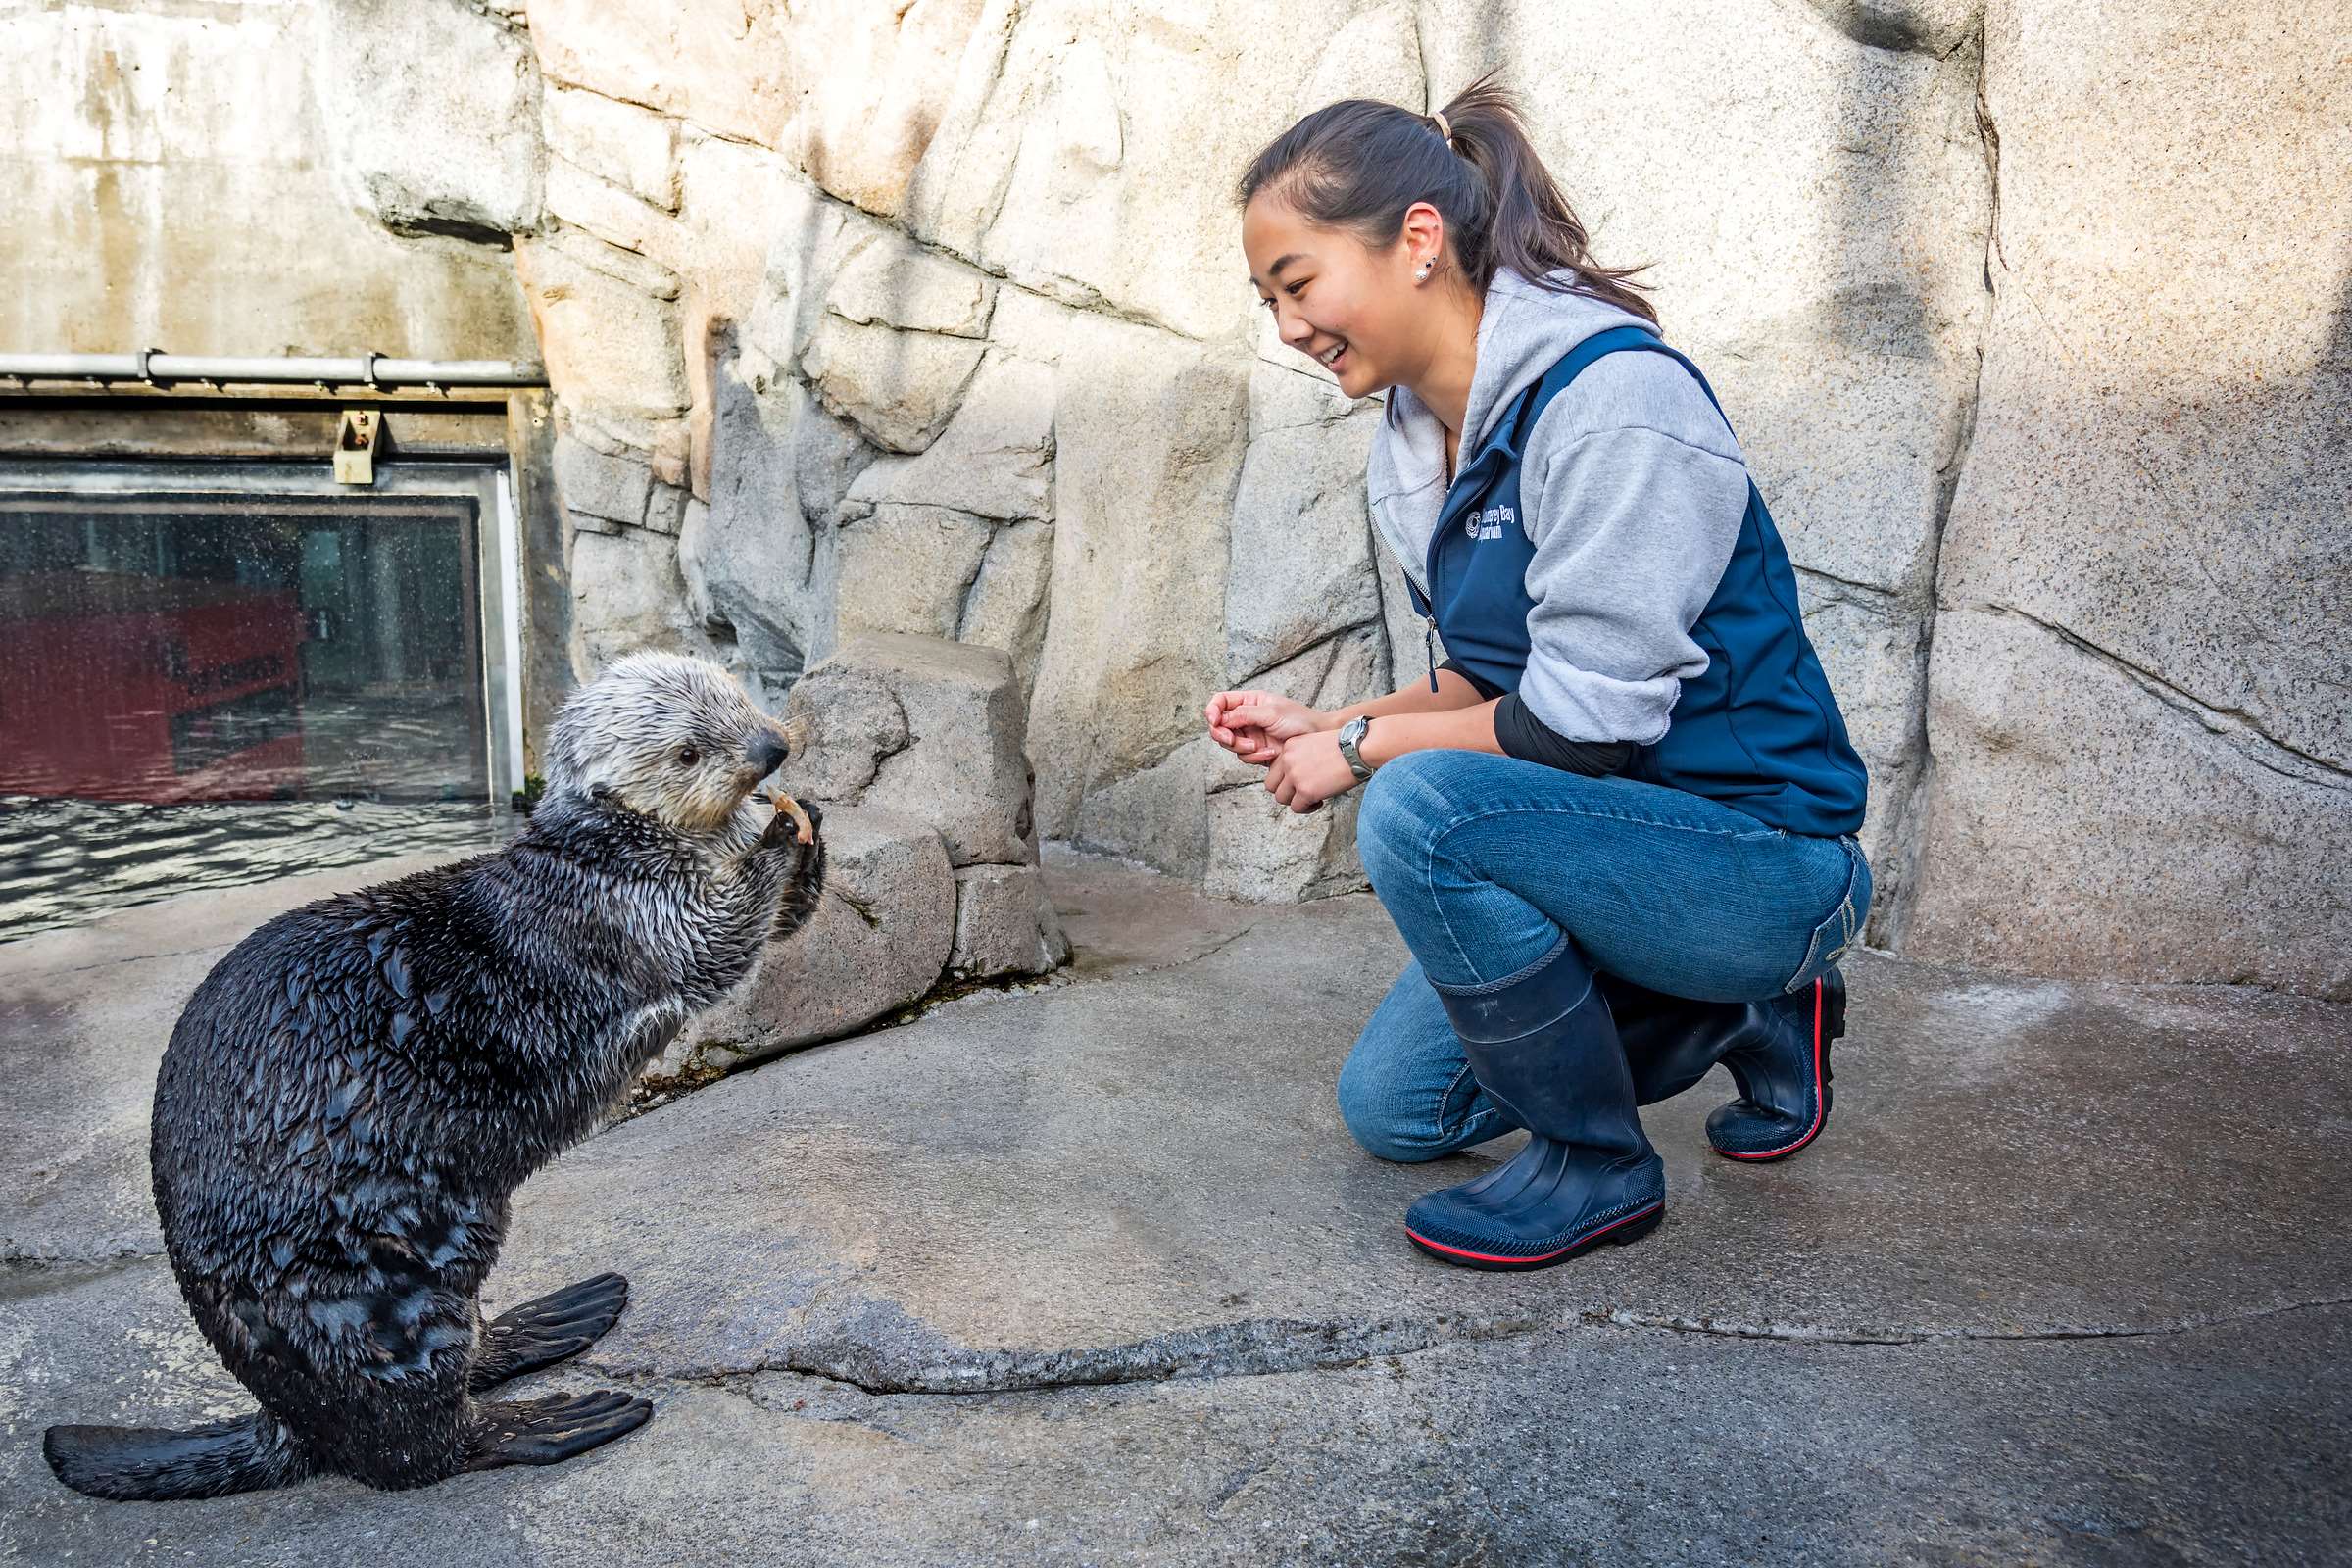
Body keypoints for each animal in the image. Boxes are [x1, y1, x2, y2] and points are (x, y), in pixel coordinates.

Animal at [44, 652, 825, 1500]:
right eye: (687, 751)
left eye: (734, 694)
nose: (771, 750)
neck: (603, 850)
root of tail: (282, 1418)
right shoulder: (630, 915)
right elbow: (718, 939)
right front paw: (781, 832)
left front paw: (807, 813)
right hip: (383, 1306)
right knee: (422, 1451)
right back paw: (557, 1419)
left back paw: (550, 1322)